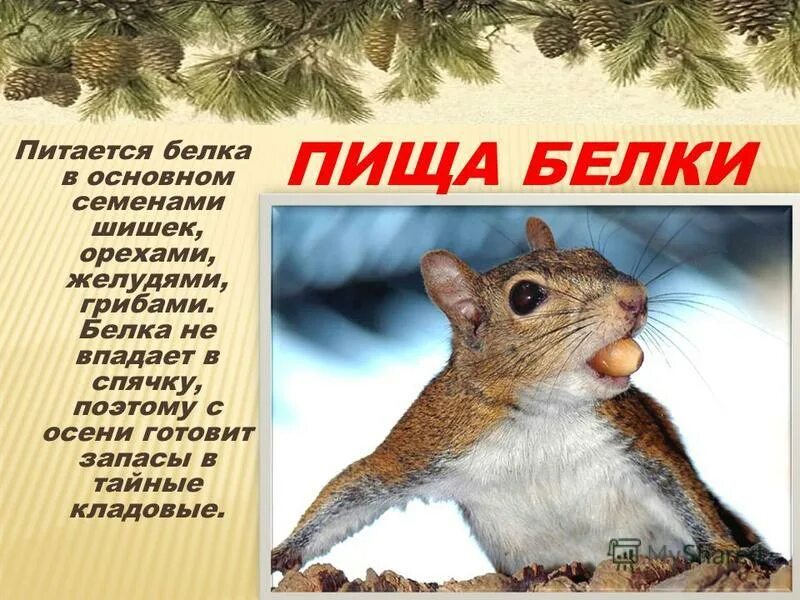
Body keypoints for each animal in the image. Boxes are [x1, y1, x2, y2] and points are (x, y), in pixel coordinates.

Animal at [272, 216, 784, 576]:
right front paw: (283, 553)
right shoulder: (431, 435)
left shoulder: (636, 437)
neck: (546, 416)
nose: (635, 298)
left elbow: (684, 491)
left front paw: (734, 552)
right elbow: (360, 485)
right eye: (526, 297)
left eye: (595, 255)